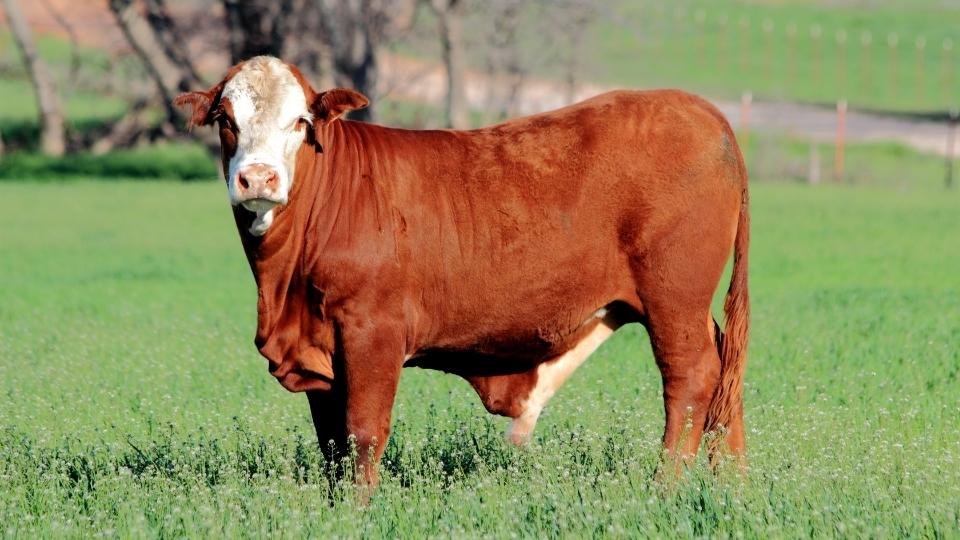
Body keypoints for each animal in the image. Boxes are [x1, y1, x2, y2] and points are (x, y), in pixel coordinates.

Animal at [174, 55, 749, 487]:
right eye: (226, 120)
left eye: (301, 121)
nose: (257, 178)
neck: (284, 285)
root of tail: (701, 110)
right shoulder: (319, 350)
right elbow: (332, 444)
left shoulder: (372, 332)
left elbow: (364, 433)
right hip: (687, 307)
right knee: (725, 369)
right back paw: (731, 485)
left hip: (673, 298)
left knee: (691, 378)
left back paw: (666, 487)